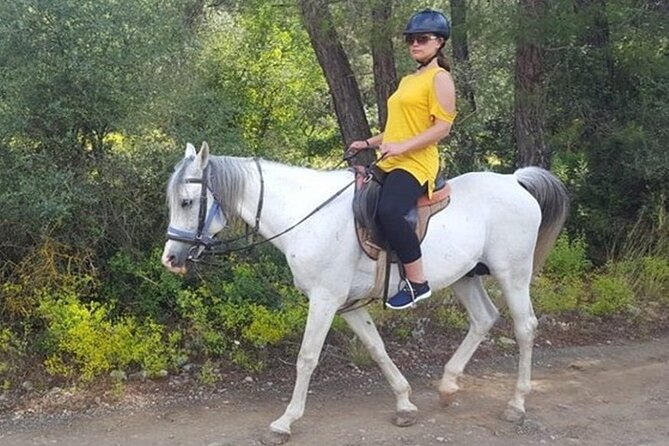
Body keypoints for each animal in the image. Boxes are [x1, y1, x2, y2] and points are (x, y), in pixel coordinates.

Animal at [161, 142, 569, 444]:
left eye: (186, 202)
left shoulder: (325, 300)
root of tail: (514, 181)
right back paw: (448, 386)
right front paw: (404, 403)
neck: (309, 216)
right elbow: (376, 347)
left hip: (512, 273)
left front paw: (285, 422)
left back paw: (516, 404)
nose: (170, 258)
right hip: (465, 277)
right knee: (484, 318)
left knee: (524, 328)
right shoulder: (347, 305)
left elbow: (307, 358)